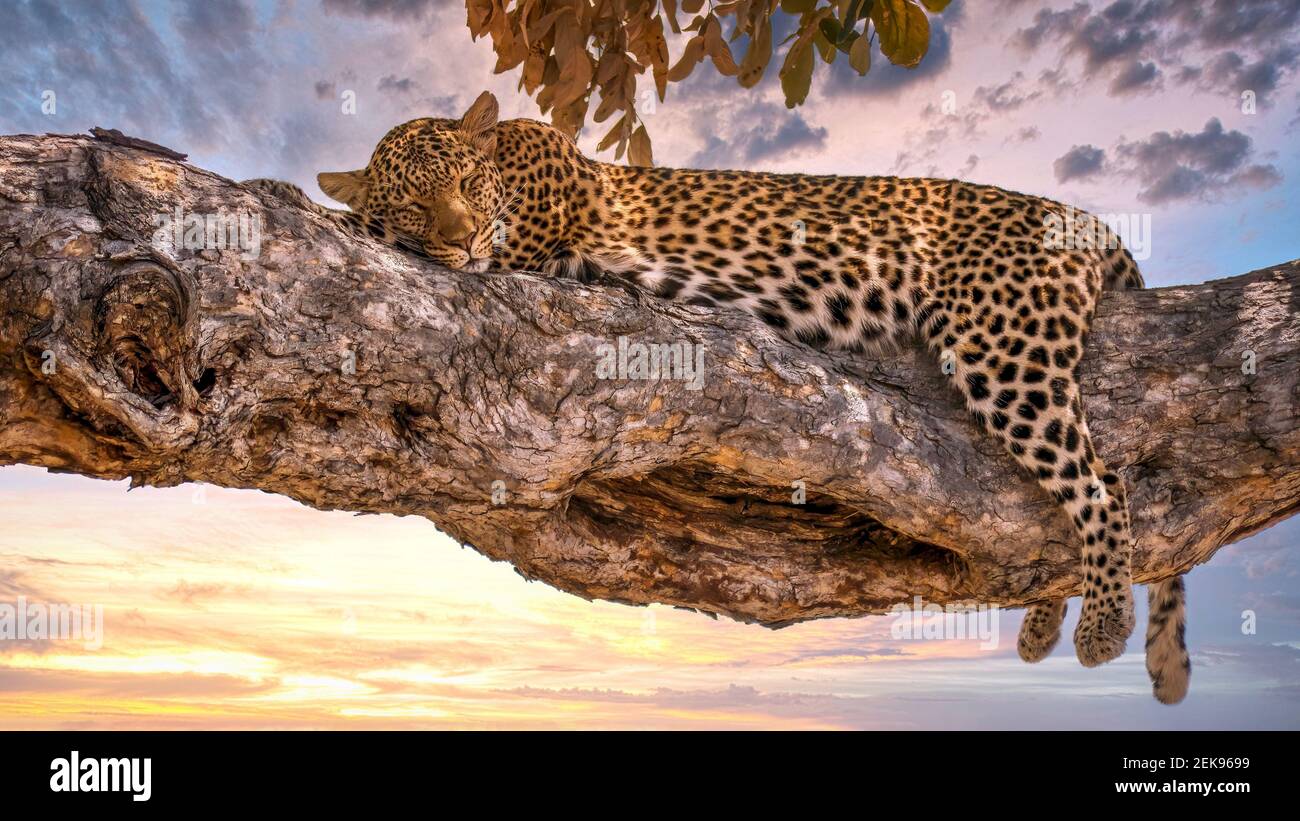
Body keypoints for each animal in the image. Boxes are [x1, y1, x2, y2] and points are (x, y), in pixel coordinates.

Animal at [243, 91, 1191, 704]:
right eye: (412, 201)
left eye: (465, 186)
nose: (463, 235)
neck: (515, 162)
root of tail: (1087, 220)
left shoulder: (530, 242)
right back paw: (1044, 624)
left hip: (1003, 341)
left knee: (1101, 484)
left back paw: (1104, 623)